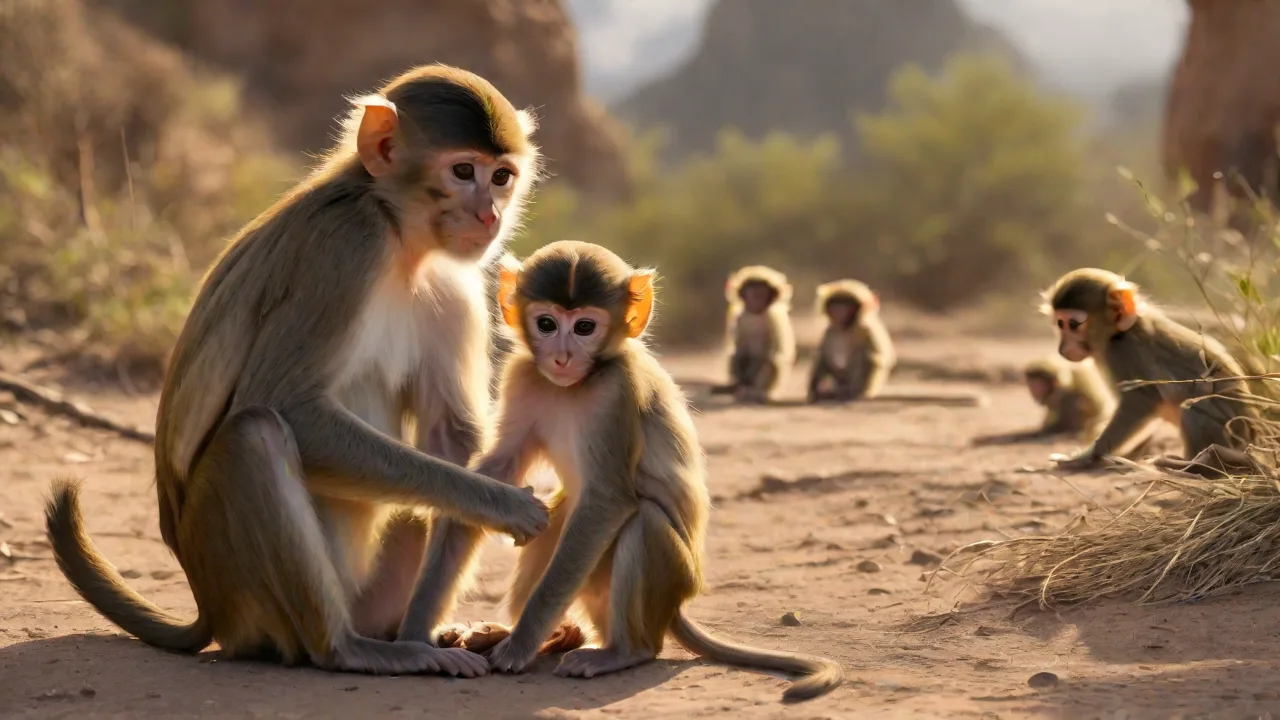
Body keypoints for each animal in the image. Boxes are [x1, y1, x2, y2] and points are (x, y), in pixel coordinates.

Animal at [43, 65, 554, 677]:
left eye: (501, 176)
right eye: (462, 171)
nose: (489, 215)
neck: (397, 233)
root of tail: (207, 609)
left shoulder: (451, 285)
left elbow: (449, 437)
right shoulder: (348, 246)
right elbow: (284, 403)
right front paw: (504, 504)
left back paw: (409, 634)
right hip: (240, 590)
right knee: (256, 435)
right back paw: (348, 649)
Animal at [709, 266, 796, 403]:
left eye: (761, 294)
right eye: (751, 293)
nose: (755, 300)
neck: (756, 314)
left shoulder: (772, 317)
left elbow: (766, 354)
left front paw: (748, 381)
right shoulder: (741, 318)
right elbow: (740, 351)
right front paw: (739, 381)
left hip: (772, 386)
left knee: (771, 362)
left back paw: (753, 392)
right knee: (736, 356)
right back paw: (736, 387)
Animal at [1043, 268, 1265, 478]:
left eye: (1073, 325)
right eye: (1060, 324)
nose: (1062, 349)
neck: (1120, 332)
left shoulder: (1124, 352)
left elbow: (1139, 402)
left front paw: (1087, 457)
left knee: (1193, 406)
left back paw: (1199, 464)